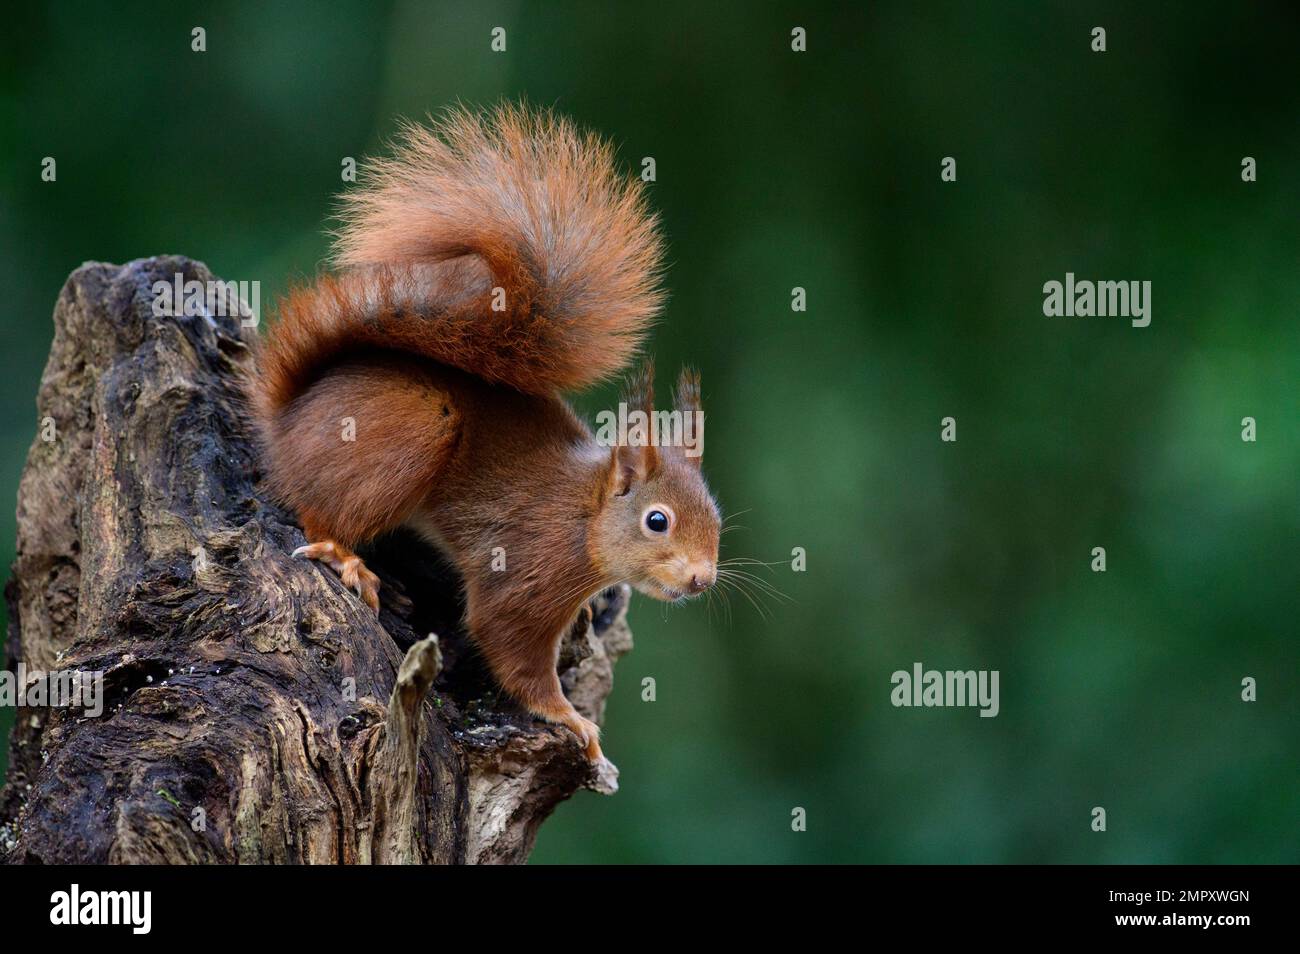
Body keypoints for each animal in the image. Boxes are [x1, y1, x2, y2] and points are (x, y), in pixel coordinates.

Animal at [248, 106, 722, 769]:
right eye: (658, 521)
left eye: (718, 518)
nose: (704, 579)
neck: (584, 514)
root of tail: (288, 418)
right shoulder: (526, 569)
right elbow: (510, 647)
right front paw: (572, 719)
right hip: (416, 428)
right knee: (318, 513)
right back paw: (346, 558)